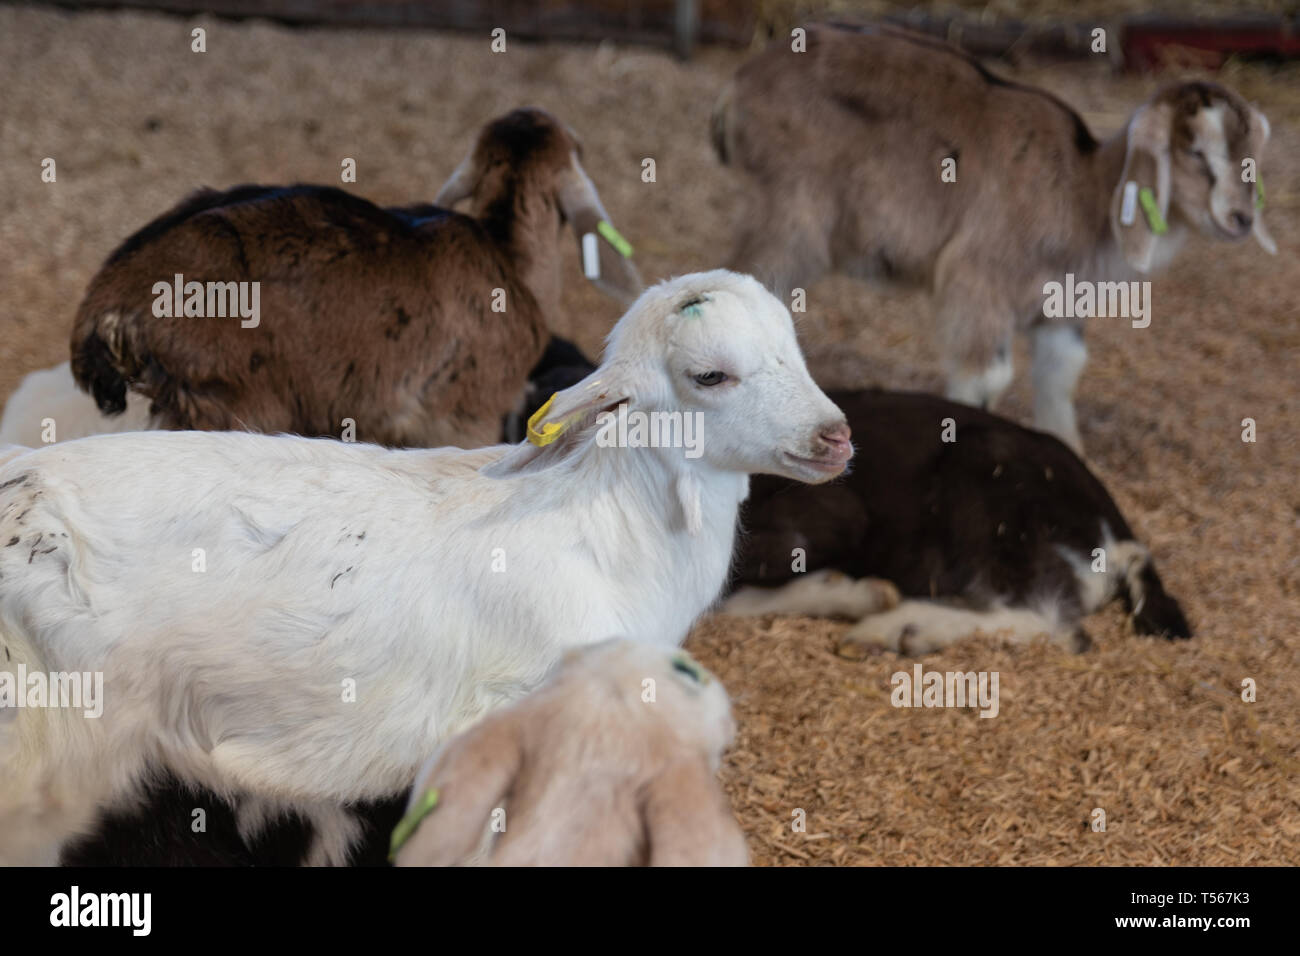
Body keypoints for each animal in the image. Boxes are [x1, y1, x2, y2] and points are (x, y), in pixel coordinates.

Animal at [712, 23, 1275, 451]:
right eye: (1194, 151)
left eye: (1248, 156)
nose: (1240, 219)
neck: (1083, 191)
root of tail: (741, 83)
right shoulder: (981, 282)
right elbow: (985, 380)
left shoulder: (1059, 308)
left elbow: (1060, 376)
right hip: (791, 213)